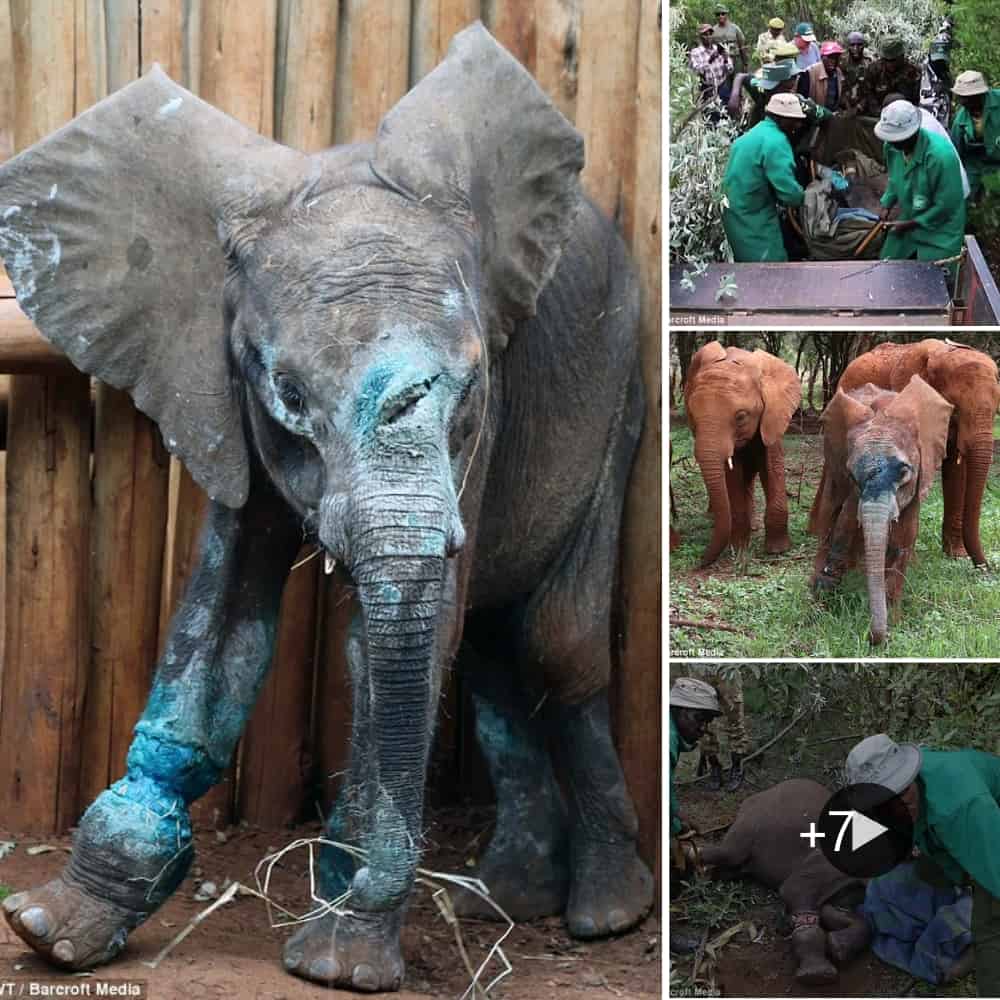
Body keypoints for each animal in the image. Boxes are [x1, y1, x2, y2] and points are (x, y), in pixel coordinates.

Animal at [0, 24, 653, 993]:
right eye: (290, 392)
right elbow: (224, 615)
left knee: (553, 646)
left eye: (469, 391)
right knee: (492, 648)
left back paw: (605, 912)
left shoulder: (484, 433)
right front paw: (55, 928)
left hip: (621, 390)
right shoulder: (221, 392)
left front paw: (339, 959)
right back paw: (501, 900)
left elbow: (392, 644)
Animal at [684, 341, 801, 567]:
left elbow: (772, 467)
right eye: (692, 416)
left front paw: (777, 550)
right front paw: (738, 549)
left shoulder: (772, 417)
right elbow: (732, 475)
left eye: (741, 416)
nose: (699, 562)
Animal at [699, 779, 870, 985]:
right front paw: (817, 975)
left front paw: (838, 948)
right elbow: (795, 889)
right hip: (749, 823)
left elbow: (835, 911)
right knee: (730, 852)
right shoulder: (832, 859)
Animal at [809, 375, 954, 644]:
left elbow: (903, 541)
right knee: (831, 510)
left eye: (905, 472)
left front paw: (893, 621)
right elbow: (845, 521)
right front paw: (823, 590)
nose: (871, 637)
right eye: (853, 475)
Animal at [816, 339, 1000, 567]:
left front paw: (957, 556)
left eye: (995, 411)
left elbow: (956, 471)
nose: (984, 566)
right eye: (955, 409)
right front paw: (912, 562)